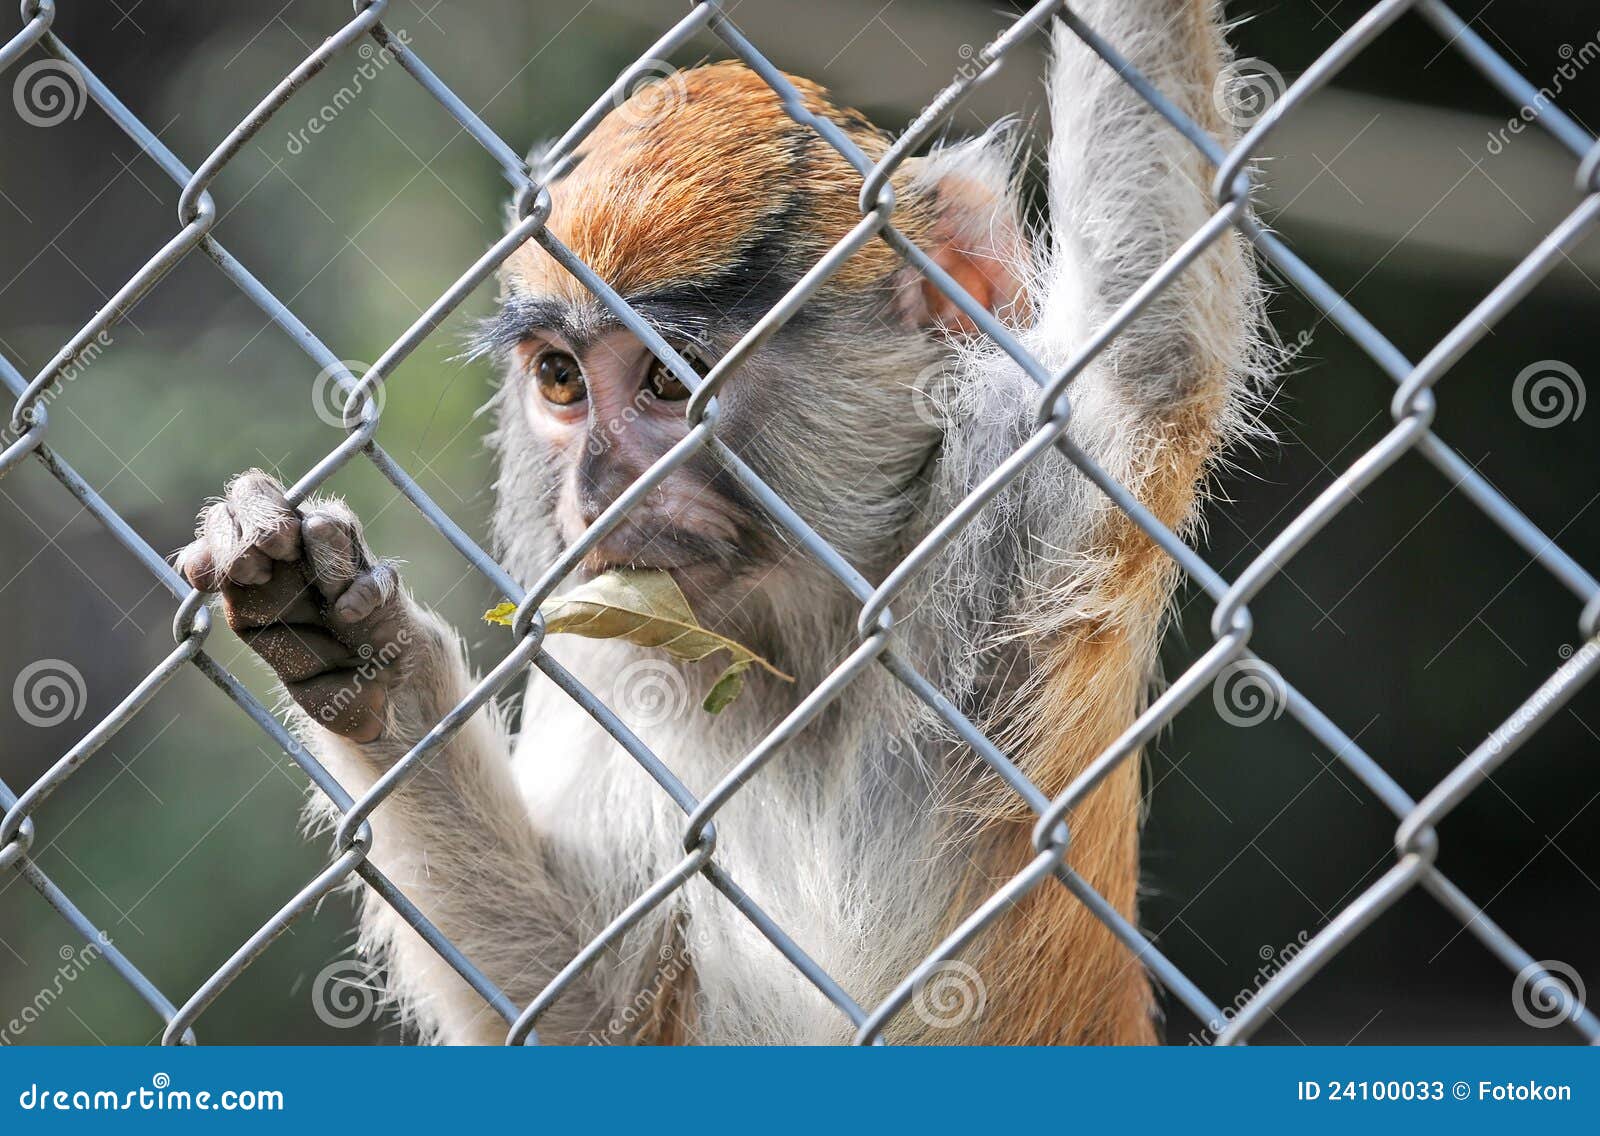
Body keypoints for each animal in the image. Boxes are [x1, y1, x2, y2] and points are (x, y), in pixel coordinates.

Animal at [176, 0, 1261, 1045]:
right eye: (560, 379)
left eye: (670, 381)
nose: (598, 487)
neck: (809, 643)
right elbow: (590, 1009)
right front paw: (354, 643)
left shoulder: (1013, 492)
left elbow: (1147, 351)